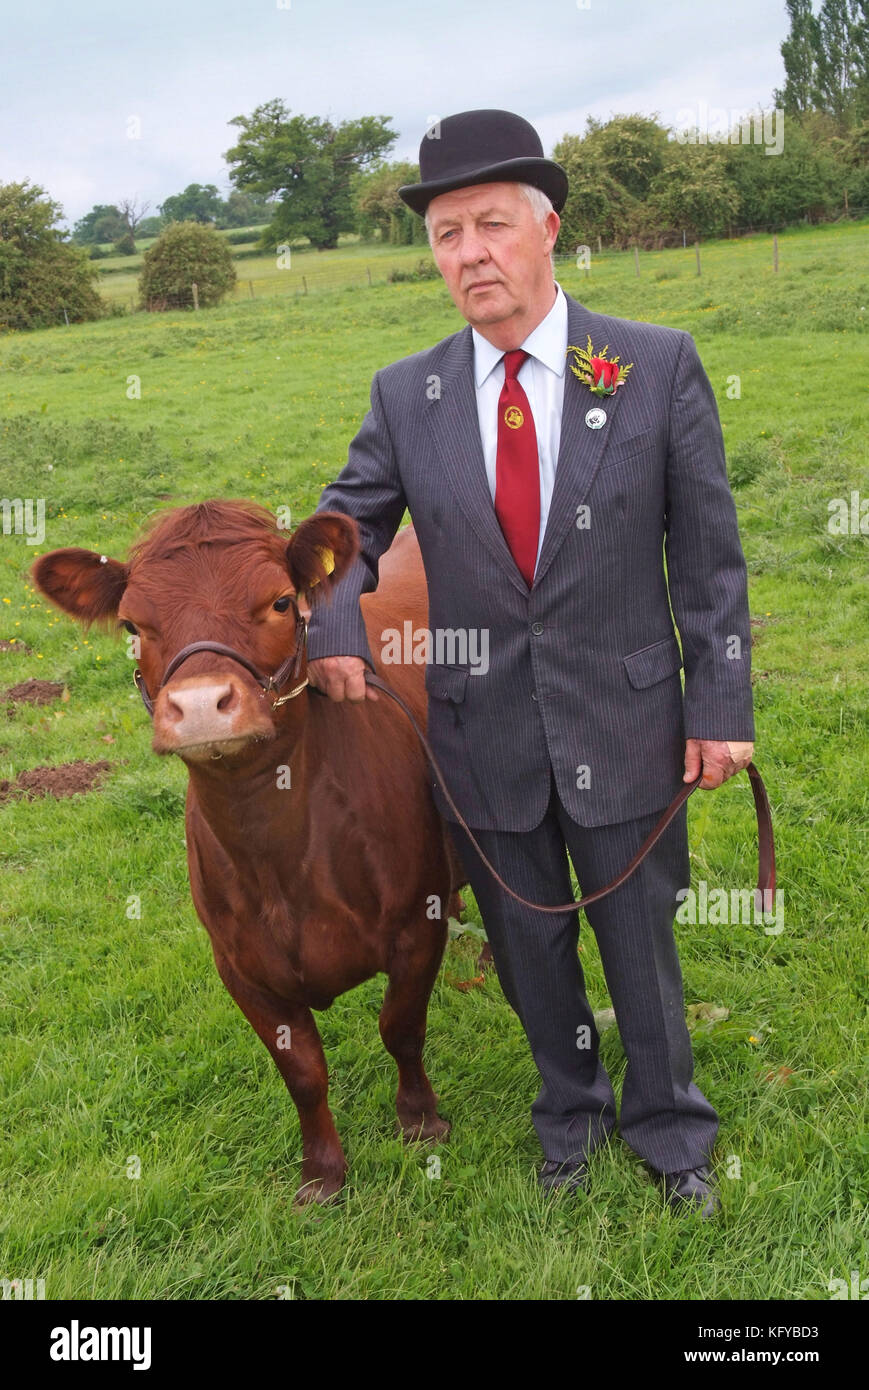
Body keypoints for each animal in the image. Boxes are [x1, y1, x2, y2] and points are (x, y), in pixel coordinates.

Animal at [32, 501, 461, 1205]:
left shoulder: (416, 926)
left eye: (282, 602)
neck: (282, 853)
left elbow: (400, 1027)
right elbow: (302, 1072)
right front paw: (322, 1174)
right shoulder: (239, 966)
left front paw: (421, 1121)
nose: (201, 705)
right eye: (132, 625)